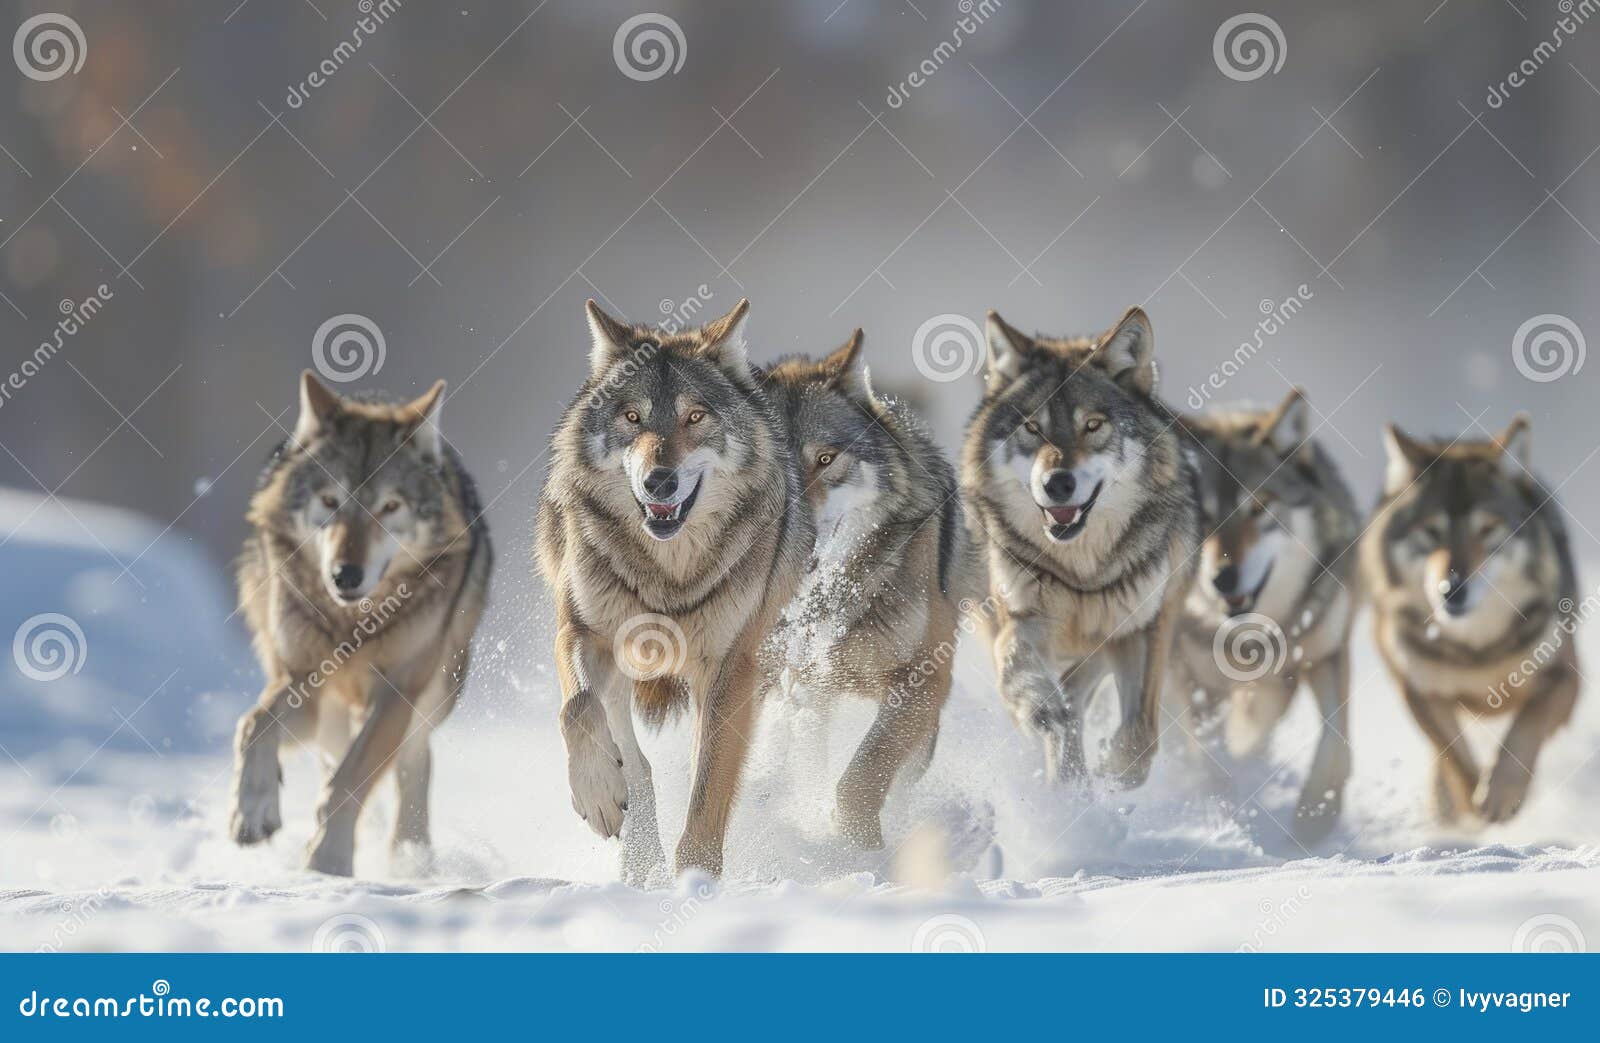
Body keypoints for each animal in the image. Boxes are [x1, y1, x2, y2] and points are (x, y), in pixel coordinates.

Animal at [229, 371, 492, 876]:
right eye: (330, 500)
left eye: (390, 507)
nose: (345, 575)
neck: (352, 624)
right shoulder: (301, 681)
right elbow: (254, 724)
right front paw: (251, 812)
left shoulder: (396, 693)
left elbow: (352, 778)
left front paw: (327, 862)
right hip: (330, 718)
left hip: (427, 700)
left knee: (413, 766)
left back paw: (410, 860)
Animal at [537, 298, 812, 882]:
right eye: (632, 417)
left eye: (695, 417)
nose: (658, 481)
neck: (669, 575)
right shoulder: (581, 633)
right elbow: (577, 709)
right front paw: (597, 795)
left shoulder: (731, 666)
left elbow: (707, 788)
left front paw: (695, 882)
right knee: (633, 761)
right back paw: (635, 854)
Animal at [962, 306, 1199, 787]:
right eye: (1032, 427)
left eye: (1092, 425)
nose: (1058, 484)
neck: (1082, 575)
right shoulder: (1020, 622)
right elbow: (1036, 691)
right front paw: (1060, 752)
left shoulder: (1141, 627)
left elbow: (1139, 738)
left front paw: (1108, 777)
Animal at [1168, 389, 1361, 840]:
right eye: (1203, 516)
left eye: (1258, 508)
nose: (1223, 579)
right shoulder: (1192, 678)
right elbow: (1208, 758)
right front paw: (1224, 815)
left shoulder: (1324, 655)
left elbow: (1336, 742)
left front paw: (1313, 820)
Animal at [1362, 415, 1578, 824]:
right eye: (1431, 532)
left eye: (1487, 529)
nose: (1452, 589)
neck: (1476, 650)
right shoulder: (1418, 689)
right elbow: (1452, 754)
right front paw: (1467, 806)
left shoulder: (1565, 678)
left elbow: (1526, 727)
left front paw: (1501, 794)